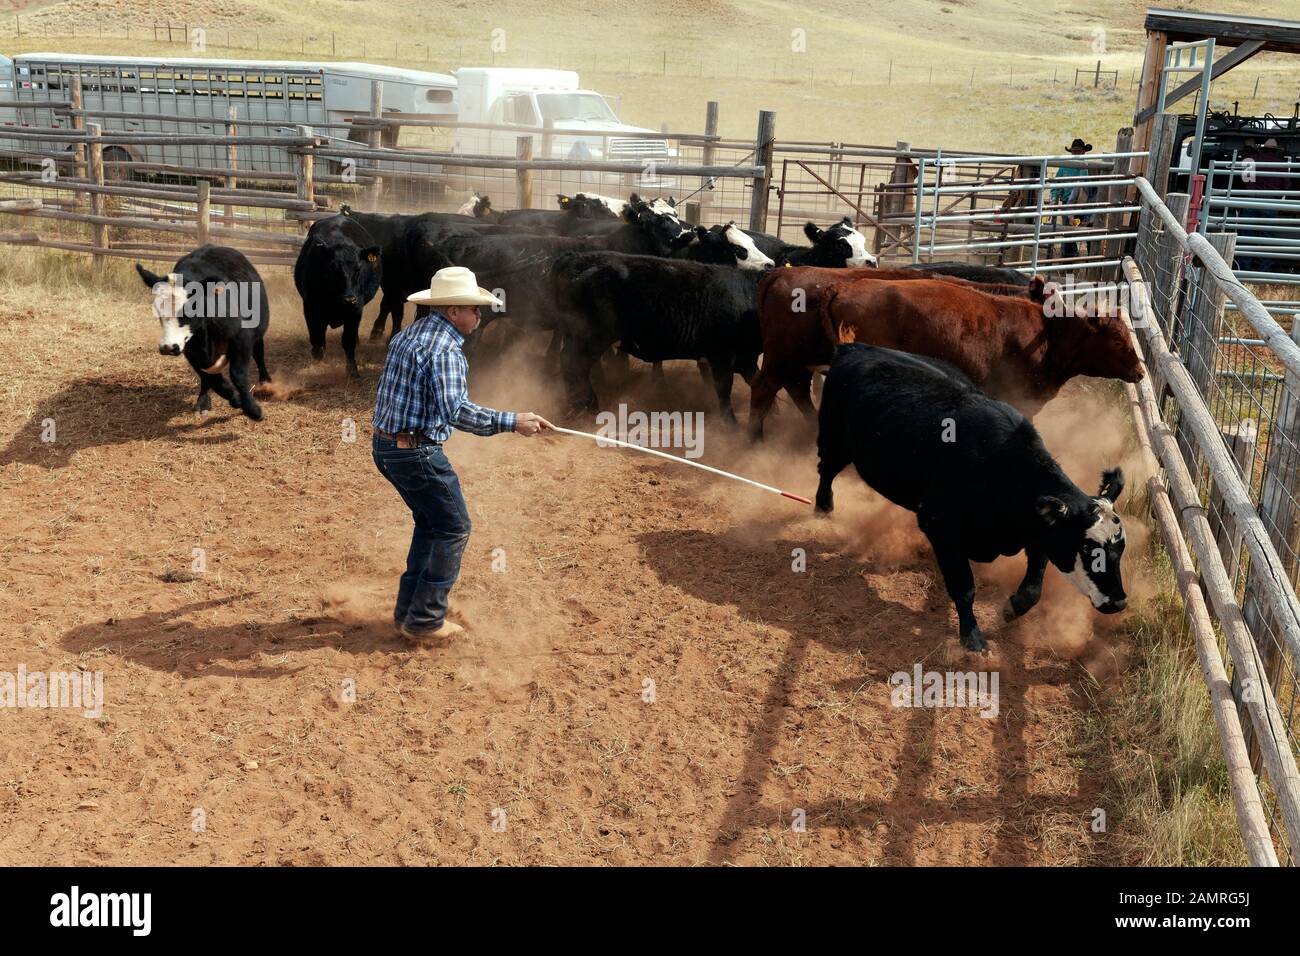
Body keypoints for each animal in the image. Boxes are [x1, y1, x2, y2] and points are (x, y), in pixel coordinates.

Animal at [135, 245, 271, 420]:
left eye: (189, 310)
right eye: (158, 310)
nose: (168, 347)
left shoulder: (242, 338)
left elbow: (238, 374)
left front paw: (253, 410)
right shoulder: (190, 350)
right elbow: (212, 379)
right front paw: (234, 398)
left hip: (258, 333)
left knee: (259, 354)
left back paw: (265, 382)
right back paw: (203, 402)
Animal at [293, 214, 382, 380]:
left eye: (358, 269)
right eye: (333, 268)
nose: (349, 299)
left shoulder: (356, 309)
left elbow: (348, 340)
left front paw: (352, 371)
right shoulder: (310, 307)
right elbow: (316, 338)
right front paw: (317, 364)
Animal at [552, 251, 763, 421]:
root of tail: (577, 258)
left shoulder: (745, 358)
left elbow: (756, 379)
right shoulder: (721, 356)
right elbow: (724, 389)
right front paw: (731, 424)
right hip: (590, 336)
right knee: (573, 363)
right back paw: (587, 406)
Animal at [815, 343, 1128, 652]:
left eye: (1121, 548)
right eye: (1087, 548)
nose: (1119, 601)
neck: (1000, 467)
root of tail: (854, 347)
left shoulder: (1039, 529)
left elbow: (1033, 588)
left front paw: (1012, 608)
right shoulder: (939, 526)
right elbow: (964, 587)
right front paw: (973, 636)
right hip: (834, 439)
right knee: (826, 470)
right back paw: (822, 510)